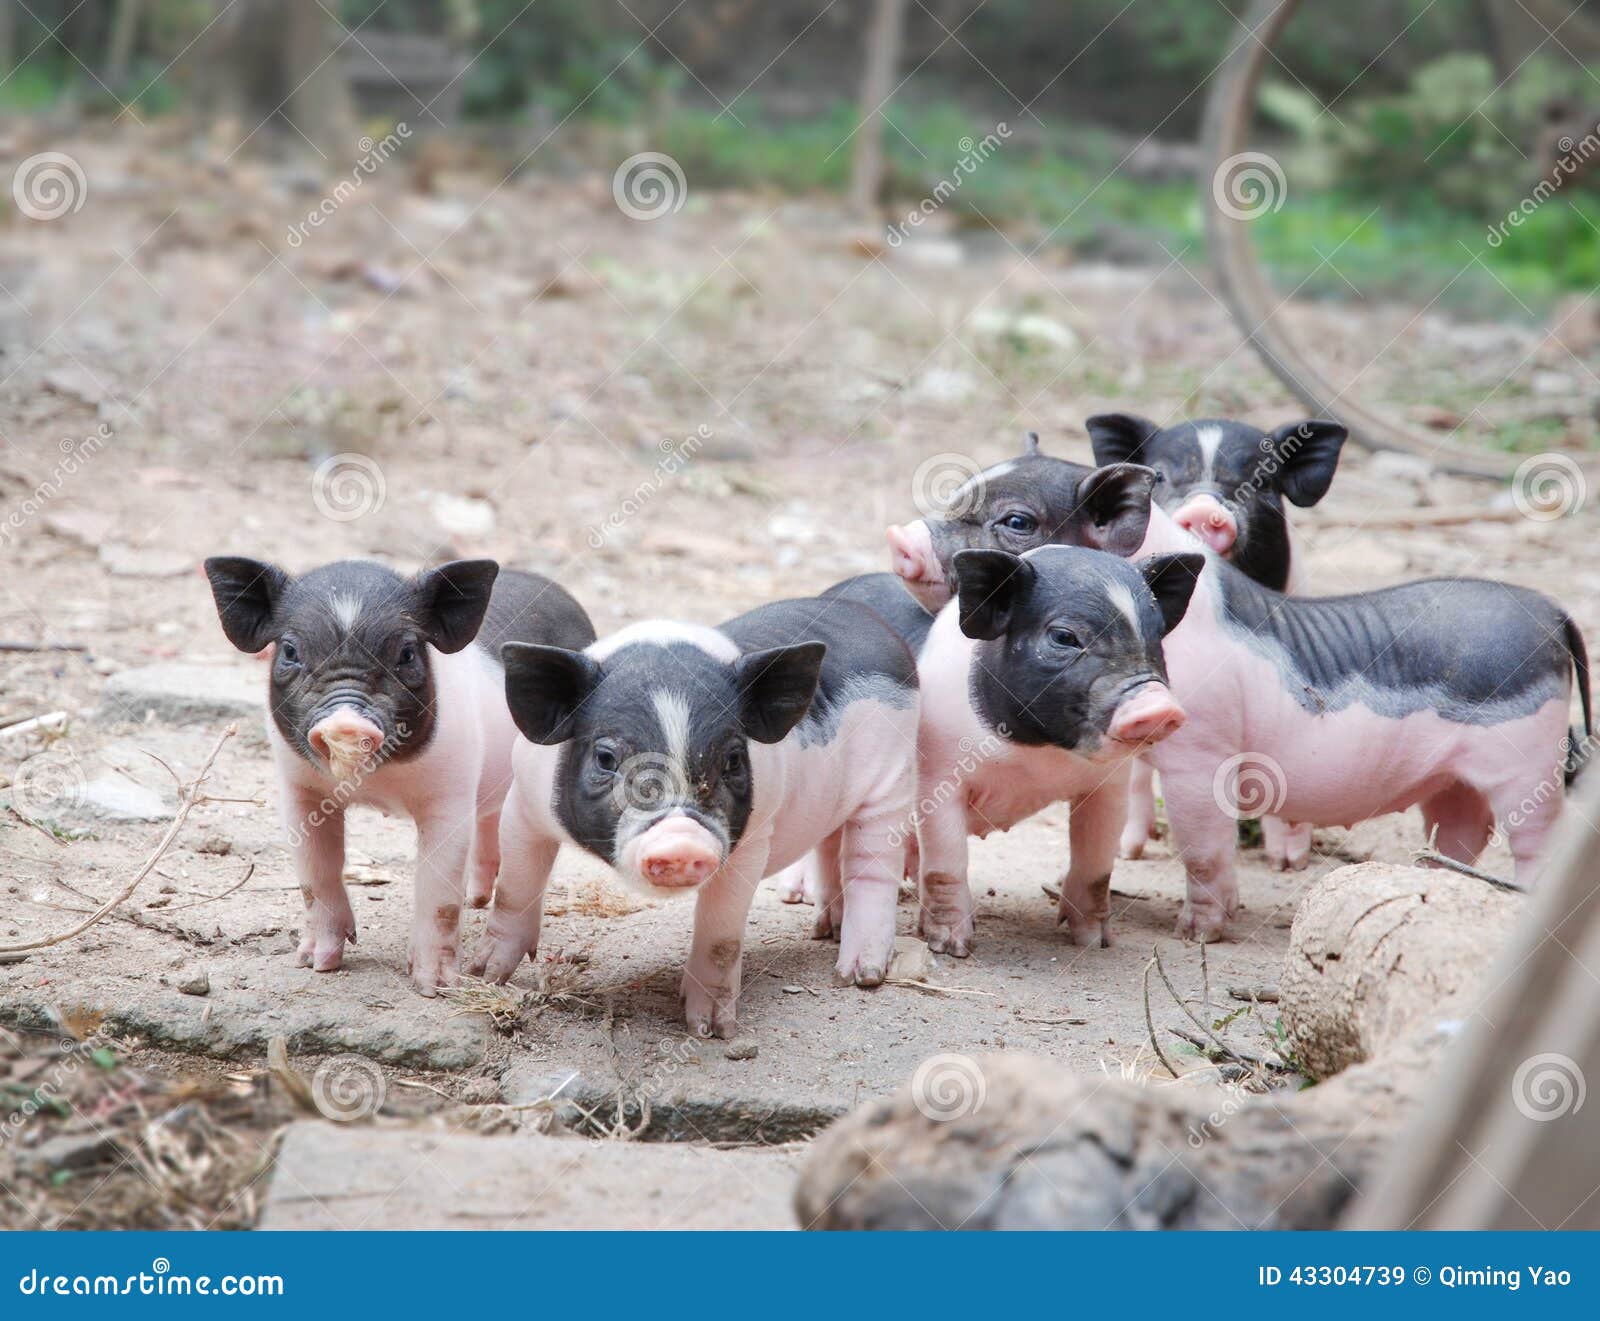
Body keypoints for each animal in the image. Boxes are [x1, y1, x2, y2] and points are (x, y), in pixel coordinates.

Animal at [203, 557, 595, 994]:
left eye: (406, 654)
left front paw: (433, 987)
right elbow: (316, 873)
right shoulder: (298, 786)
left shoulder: (450, 791)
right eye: (289, 651)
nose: (346, 721)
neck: (379, 784)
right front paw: (315, 964)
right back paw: (476, 900)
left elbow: (438, 892)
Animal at [466, 594, 920, 1039]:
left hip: (894, 781)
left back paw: (860, 975)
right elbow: (515, 887)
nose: (681, 839)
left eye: (733, 759)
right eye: (606, 757)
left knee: (871, 869)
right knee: (830, 845)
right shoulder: (524, 802)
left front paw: (711, 1030)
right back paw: (825, 929)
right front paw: (485, 974)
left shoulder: (753, 840)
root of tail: (873, 622)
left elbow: (721, 934)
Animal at [902, 545, 1200, 953]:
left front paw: (1095, 942)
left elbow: (1096, 865)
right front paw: (950, 947)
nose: (1159, 706)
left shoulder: (1109, 786)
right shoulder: (937, 774)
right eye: (1064, 637)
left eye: (1156, 637)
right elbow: (945, 863)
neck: (1037, 758)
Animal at [1133, 503, 1592, 941]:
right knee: (1464, 827)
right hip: (1453, 776)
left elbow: (1201, 850)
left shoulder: (1200, 751)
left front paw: (1193, 935)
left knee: (1538, 839)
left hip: (1529, 764)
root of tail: (1551, 611)